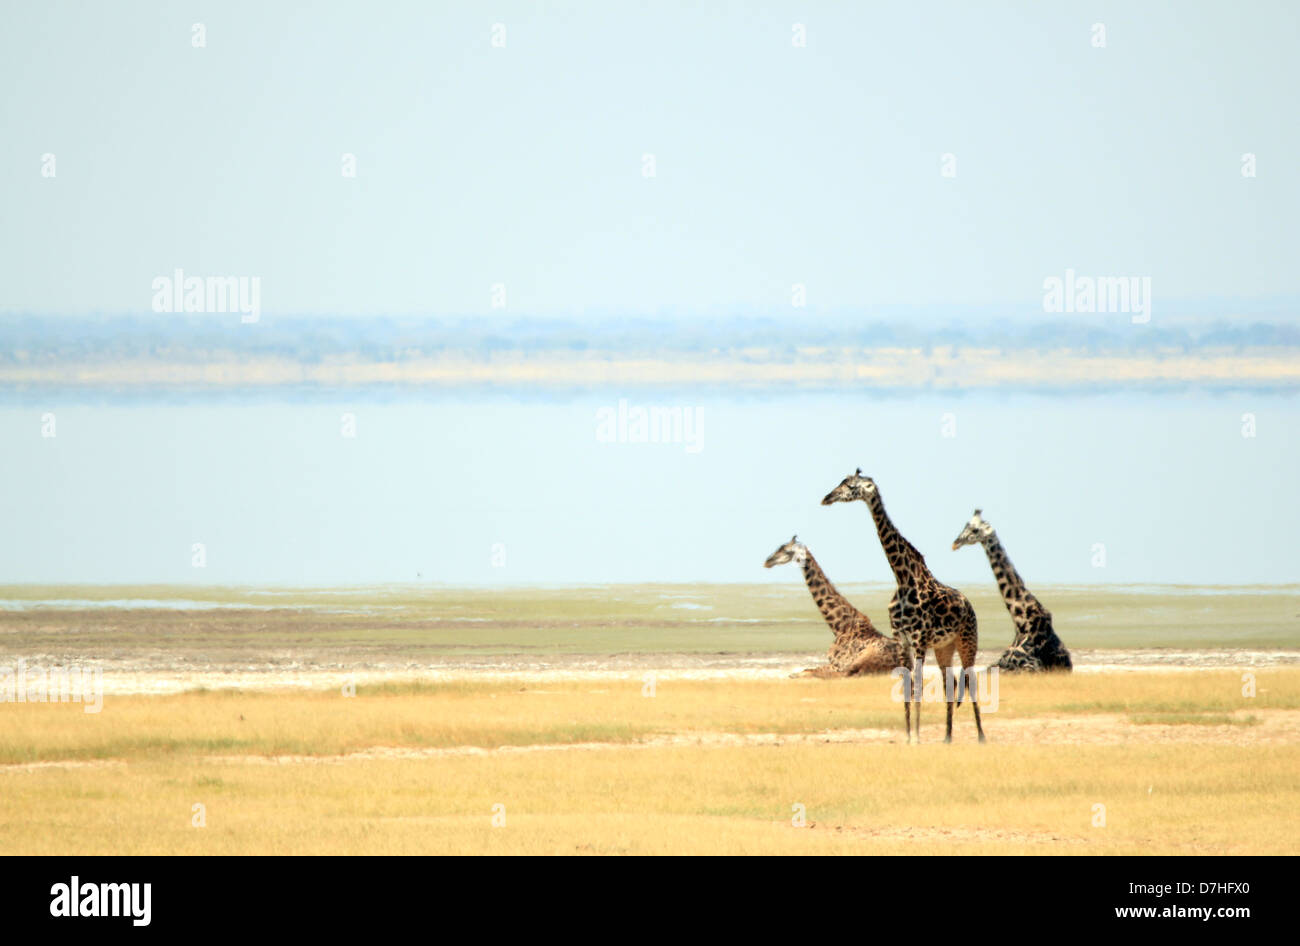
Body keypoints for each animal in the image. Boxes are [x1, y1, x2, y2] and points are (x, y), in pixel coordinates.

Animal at [763, 536, 906, 677]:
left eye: (787, 550)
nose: (767, 562)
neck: (839, 627)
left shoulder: (839, 664)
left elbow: (809, 672)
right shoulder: (833, 664)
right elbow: (806, 670)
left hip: (865, 658)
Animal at [822, 470, 986, 744]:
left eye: (852, 486)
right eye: (841, 482)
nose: (827, 497)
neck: (903, 577)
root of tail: (969, 604)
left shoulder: (919, 640)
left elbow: (918, 685)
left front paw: (917, 737)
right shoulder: (902, 640)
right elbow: (906, 686)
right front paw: (908, 737)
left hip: (967, 639)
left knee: (970, 679)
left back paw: (981, 736)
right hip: (944, 647)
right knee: (949, 682)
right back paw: (947, 737)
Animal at [951, 510, 1072, 672]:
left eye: (975, 530)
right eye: (966, 525)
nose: (955, 543)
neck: (1020, 621)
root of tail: (1069, 662)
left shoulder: (1029, 666)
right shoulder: (1001, 662)